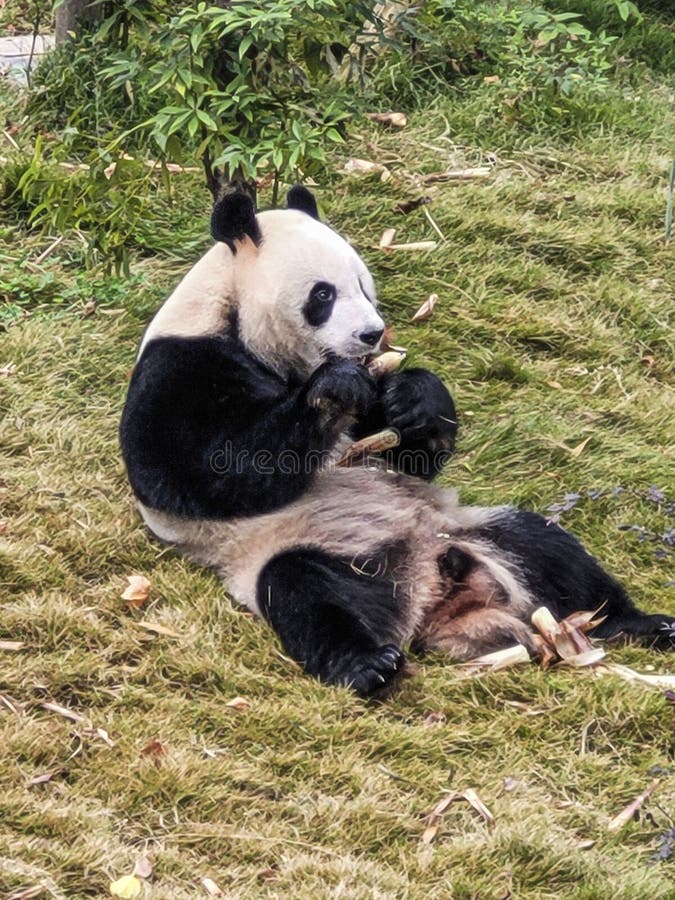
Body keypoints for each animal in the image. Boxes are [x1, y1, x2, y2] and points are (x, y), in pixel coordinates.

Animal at [120, 185, 674, 696]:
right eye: (323, 295)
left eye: (365, 287)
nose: (372, 334)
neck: (236, 322)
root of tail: (433, 595)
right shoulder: (179, 368)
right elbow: (208, 470)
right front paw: (333, 390)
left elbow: (406, 454)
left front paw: (415, 398)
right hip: (306, 549)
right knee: (305, 591)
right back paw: (367, 665)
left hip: (469, 528)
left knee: (549, 548)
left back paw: (639, 622)